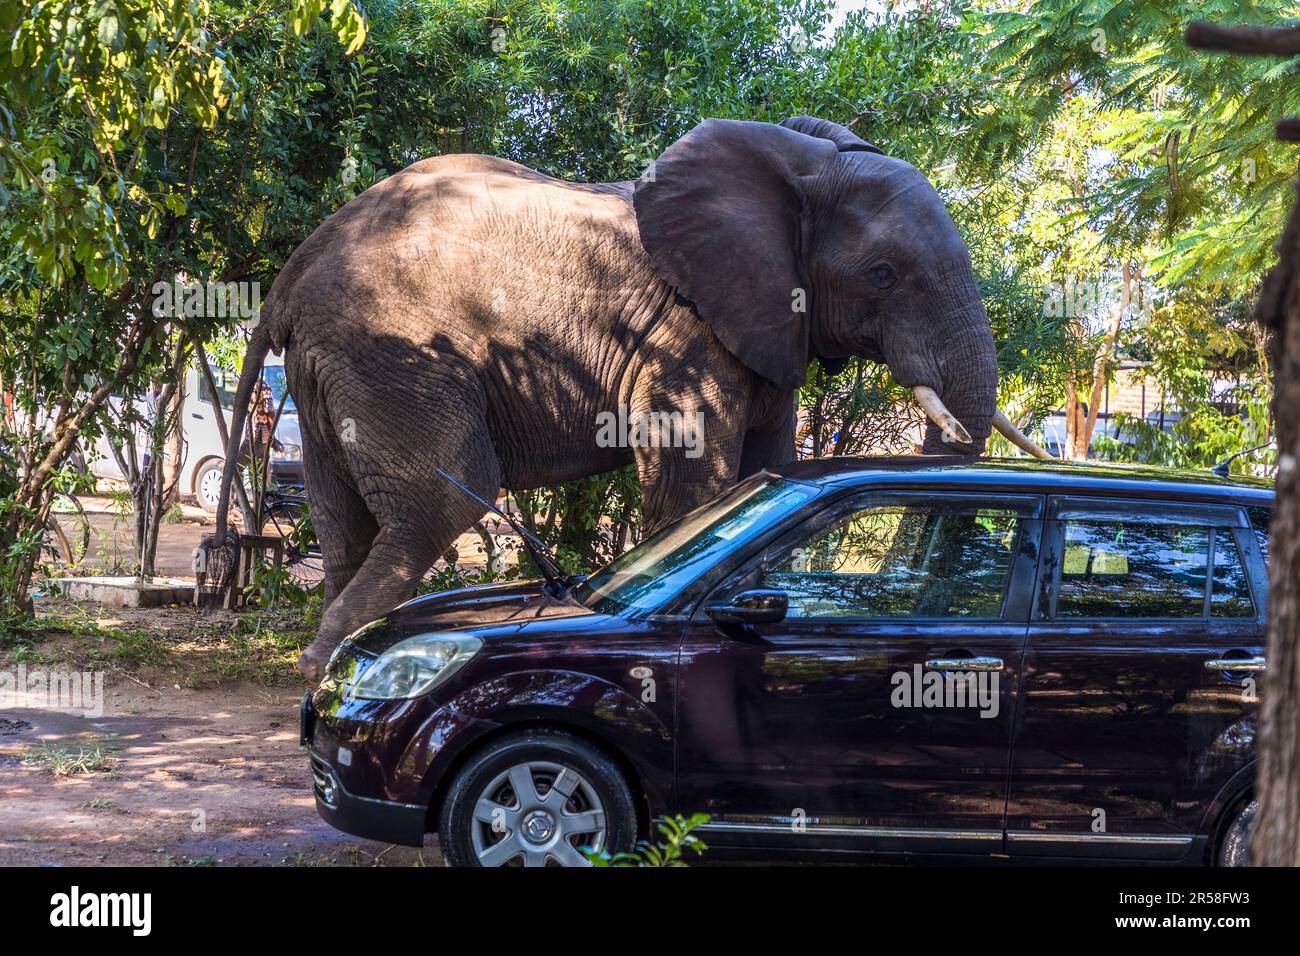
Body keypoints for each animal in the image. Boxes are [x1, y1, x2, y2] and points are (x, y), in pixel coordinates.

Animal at [213, 115, 1048, 682]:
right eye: (882, 274)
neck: (803, 161)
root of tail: (291, 272)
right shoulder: (688, 330)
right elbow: (694, 473)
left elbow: (766, 461)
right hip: (393, 352)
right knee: (439, 504)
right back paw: (329, 667)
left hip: (331, 369)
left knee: (344, 518)